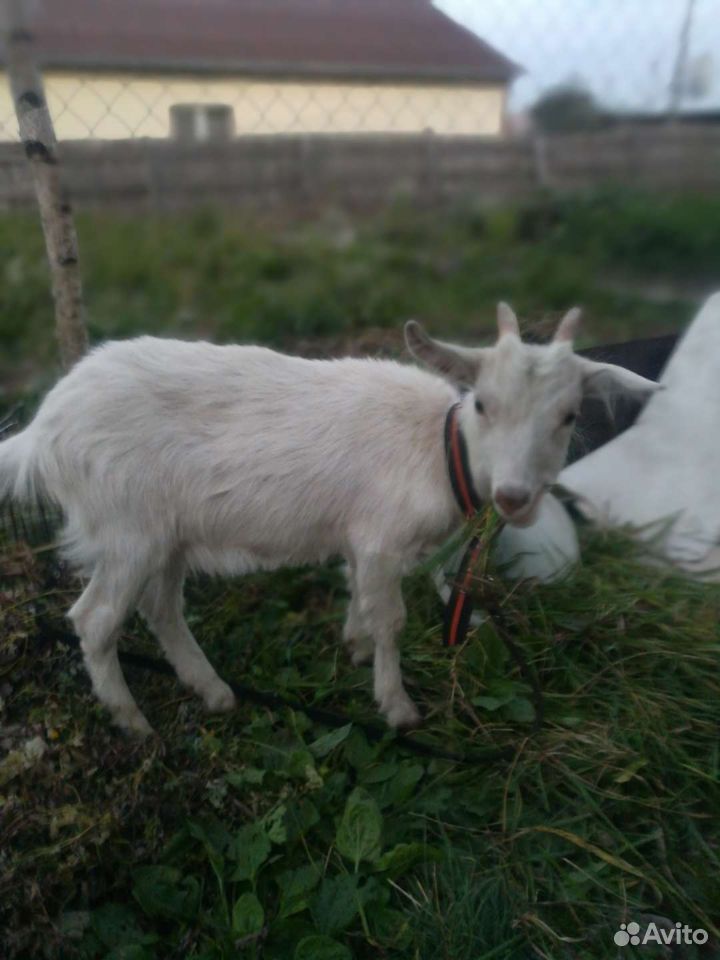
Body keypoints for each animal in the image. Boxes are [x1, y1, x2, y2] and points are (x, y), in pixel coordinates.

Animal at [0, 304, 658, 735]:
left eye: (569, 415)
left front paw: (355, 646)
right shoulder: (381, 539)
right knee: (94, 620)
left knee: (160, 608)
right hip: (126, 528)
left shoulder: (361, 542)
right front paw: (396, 706)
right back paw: (133, 722)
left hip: (166, 534)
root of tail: (44, 430)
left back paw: (213, 692)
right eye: (481, 403)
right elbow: (391, 619)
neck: (437, 449)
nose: (516, 496)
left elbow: (358, 595)